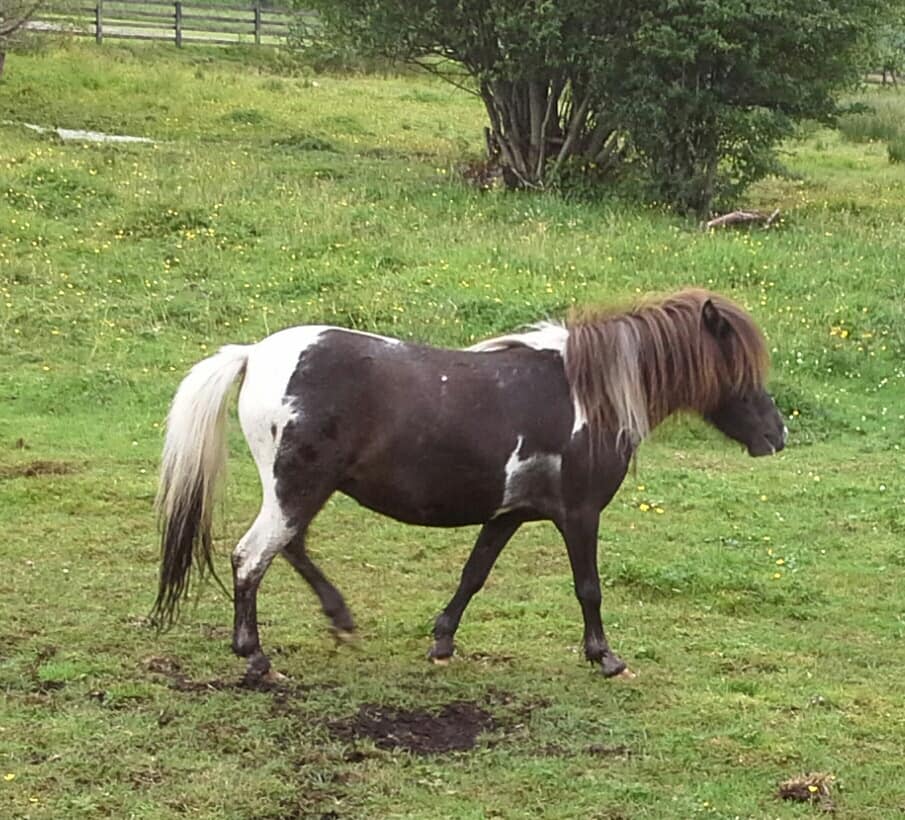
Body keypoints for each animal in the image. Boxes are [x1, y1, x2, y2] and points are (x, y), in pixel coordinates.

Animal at [152, 288, 786, 682]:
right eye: (741, 370)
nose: (776, 435)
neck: (587, 395)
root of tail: (256, 355)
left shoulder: (508, 513)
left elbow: (473, 575)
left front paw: (441, 642)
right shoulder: (579, 513)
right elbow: (589, 588)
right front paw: (606, 658)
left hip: (301, 492)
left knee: (290, 548)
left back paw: (341, 619)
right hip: (296, 490)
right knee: (250, 557)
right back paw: (256, 658)